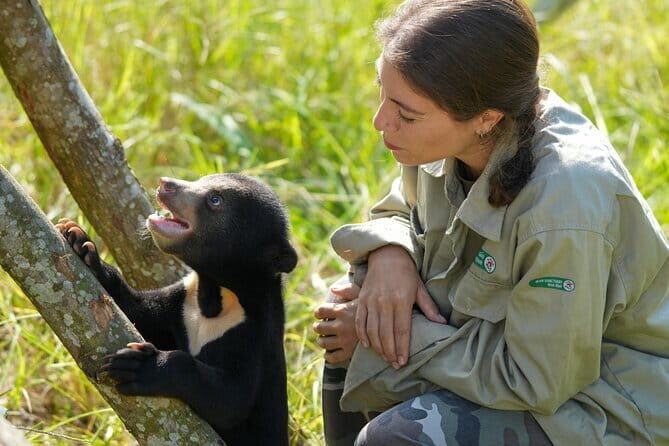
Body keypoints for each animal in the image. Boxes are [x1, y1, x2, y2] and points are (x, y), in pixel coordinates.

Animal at [56, 173, 297, 445]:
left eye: (215, 199)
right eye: (201, 180)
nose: (165, 183)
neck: (214, 296)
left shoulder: (251, 333)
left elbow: (232, 399)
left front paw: (138, 366)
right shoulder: (181, 300)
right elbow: (138, 313)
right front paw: (79, 241)